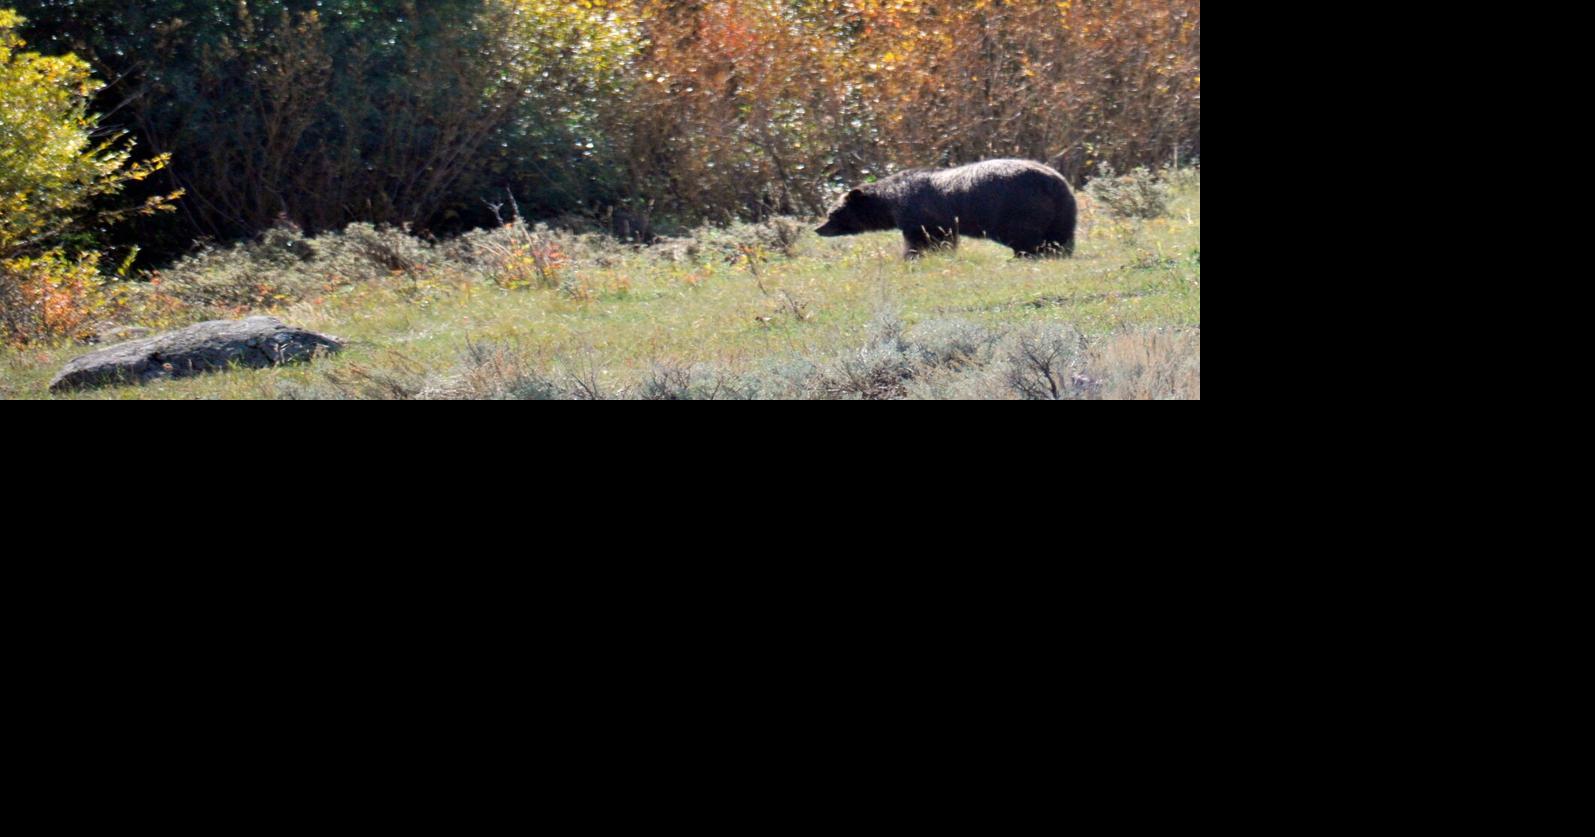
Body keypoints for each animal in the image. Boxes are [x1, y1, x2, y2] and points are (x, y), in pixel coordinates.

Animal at [816, 159, 1077, 259]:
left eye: (832, 213)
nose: (819, 229)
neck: (890, 203)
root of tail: (1053, 182)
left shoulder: (920, 214)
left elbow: (922, 239)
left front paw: (911, 257)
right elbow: (944, 239)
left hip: (1017, 206)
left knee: (1023, 235)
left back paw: (1023, 255)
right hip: (1063, 209)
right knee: (1061, 235)